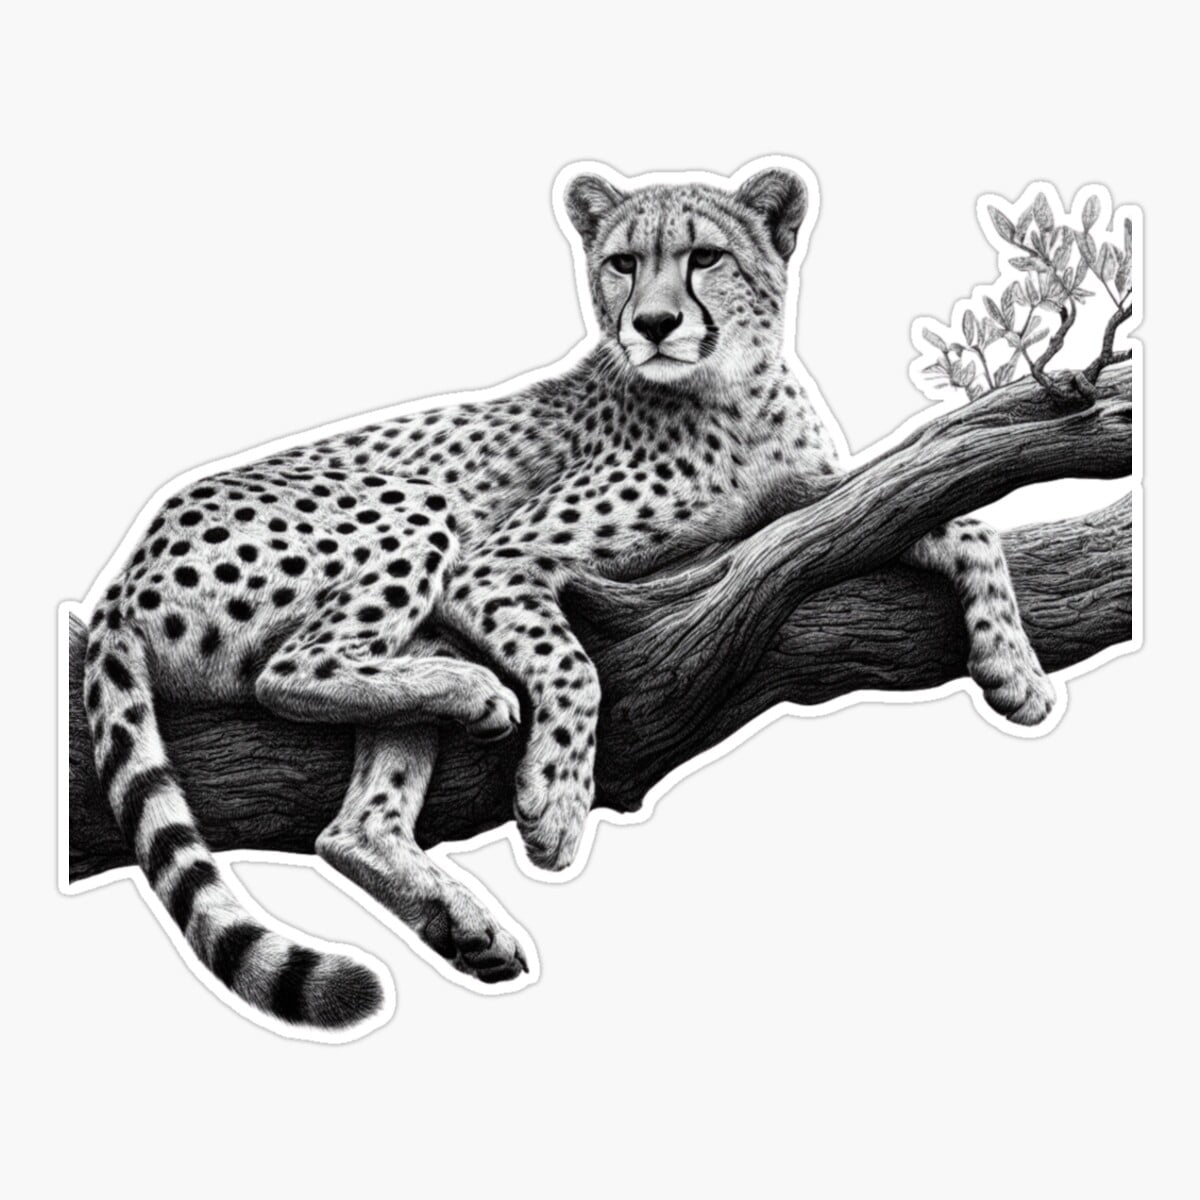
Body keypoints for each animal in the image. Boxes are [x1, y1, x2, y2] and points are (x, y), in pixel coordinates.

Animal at [80, 161, 1055, 1032]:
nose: (655, 323)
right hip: (415, 511)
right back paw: (476, 699)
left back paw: (463, 919)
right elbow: (576, 666)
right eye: (622, 262)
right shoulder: (491, 564)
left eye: (705, 256)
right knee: (289, 671)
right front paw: (554, 801)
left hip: (414, 637)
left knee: (351, 827)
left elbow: (960, 520)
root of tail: (123, 581)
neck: (729, 391)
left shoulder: (815, 506)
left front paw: (1016, 671)